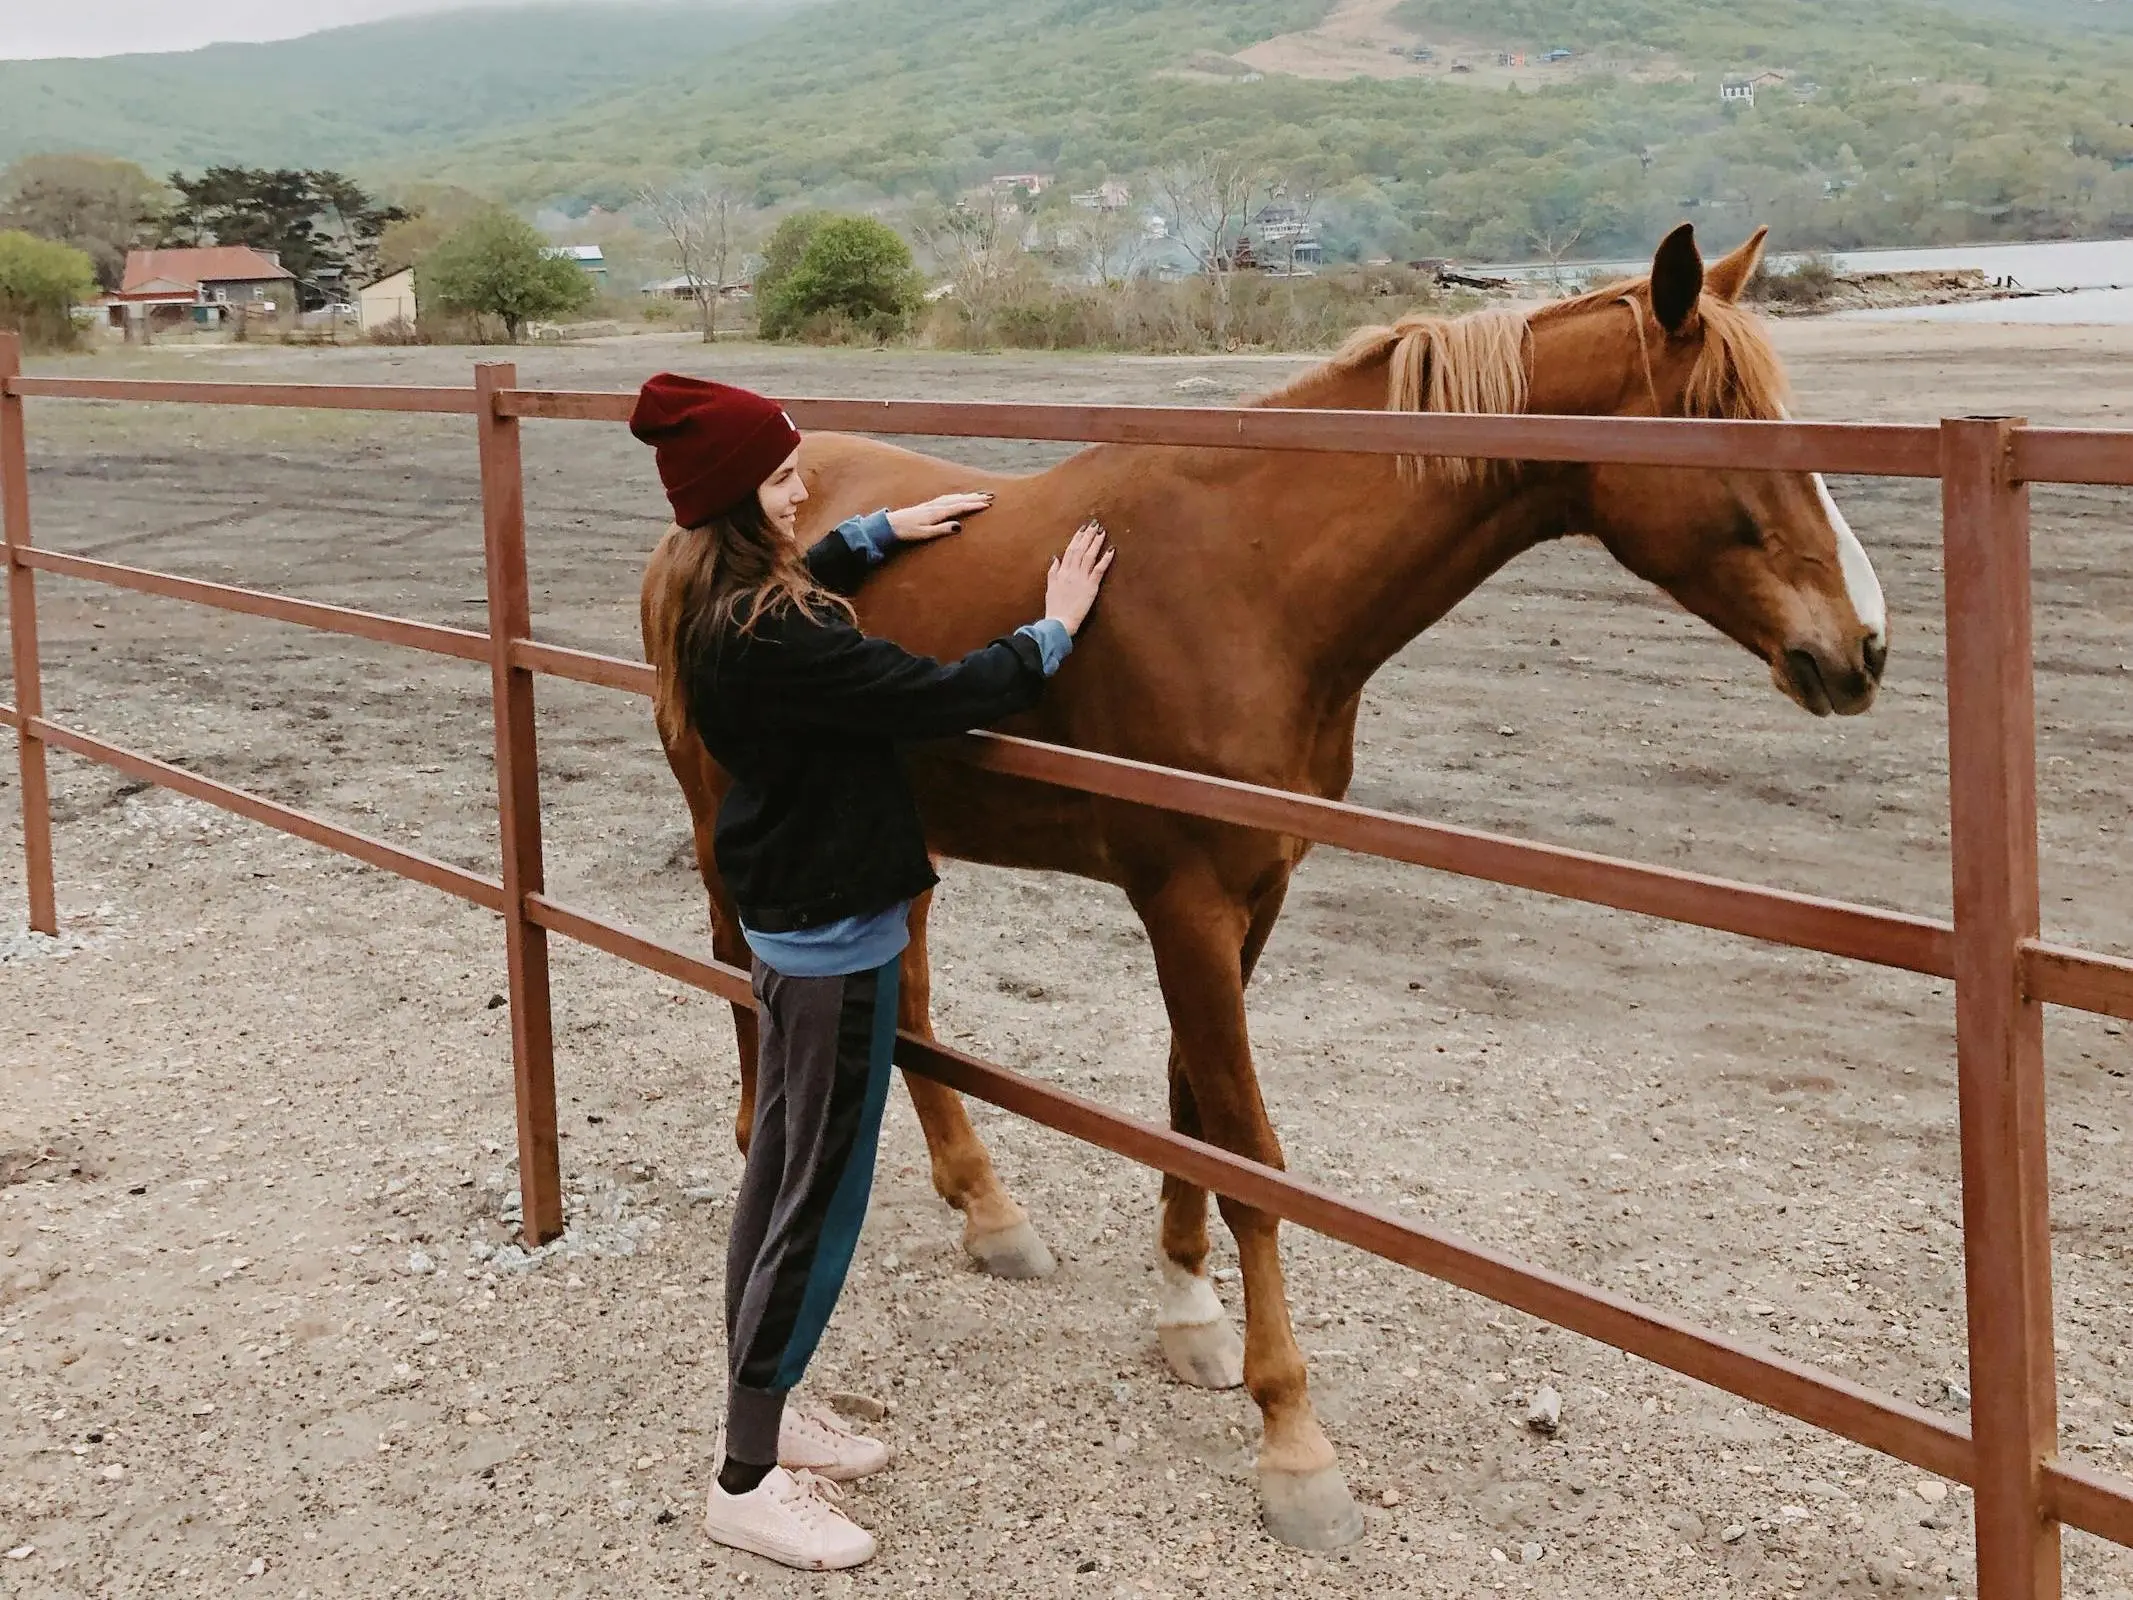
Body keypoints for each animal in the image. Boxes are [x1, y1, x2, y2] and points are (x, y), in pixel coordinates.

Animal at [641, 223, 1889, 1549]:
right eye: (1729, 432)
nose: (1862, 647)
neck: (1259, 579)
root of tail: (695, 548)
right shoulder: (1185, 901)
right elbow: (1250, 1150)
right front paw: (1293, 1440)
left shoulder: (1251, 899)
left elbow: (1193, 1108)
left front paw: (1189, 1312)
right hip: (726, 826)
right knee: (750, 984)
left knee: (908, 1006)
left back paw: (990, 1213)